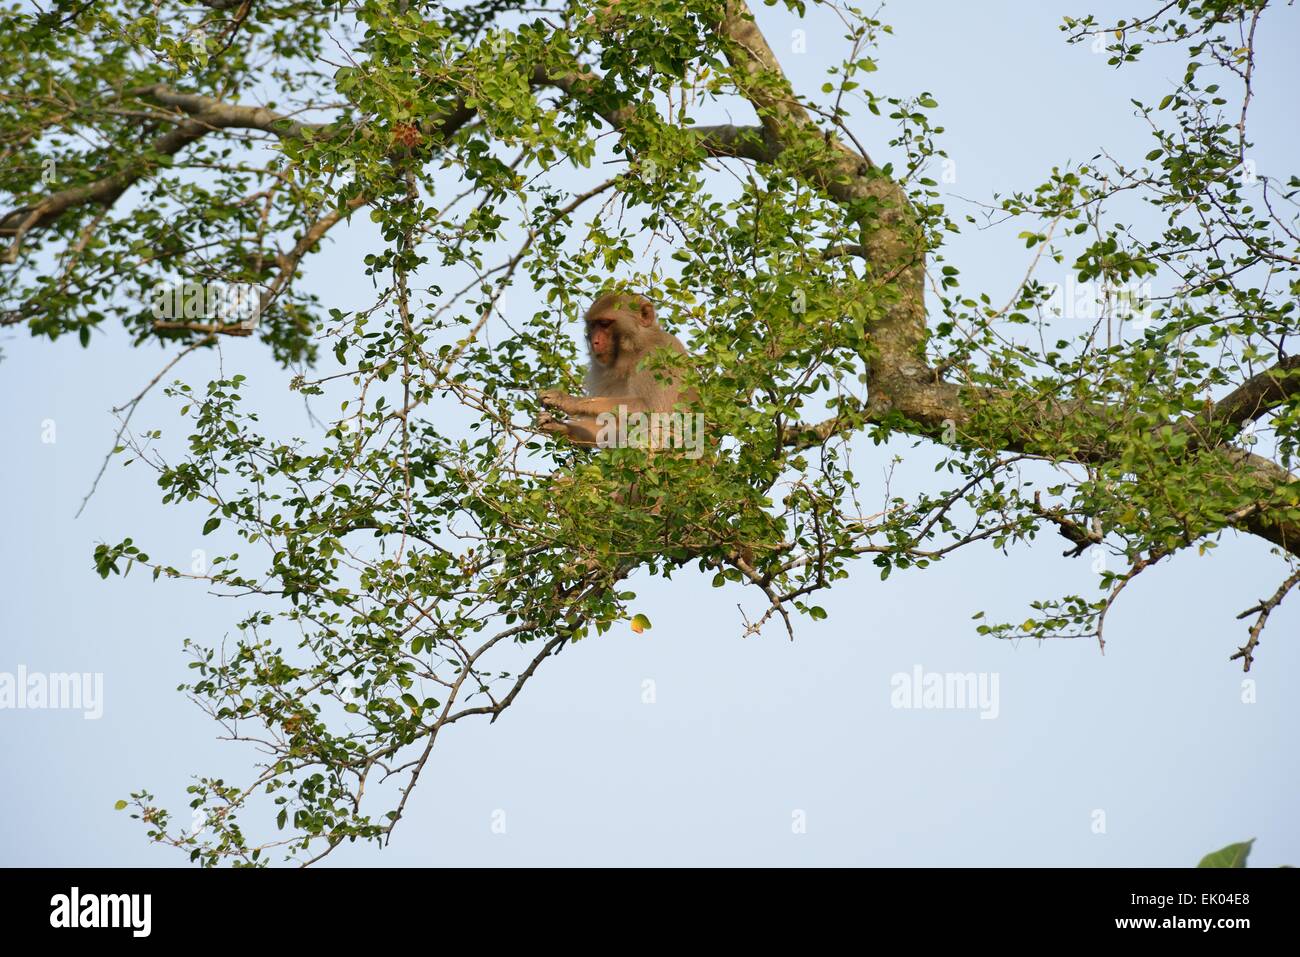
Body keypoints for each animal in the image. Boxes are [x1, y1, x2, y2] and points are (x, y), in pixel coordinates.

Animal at [537, 291, 692, 448]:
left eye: (605, 323)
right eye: (593, 325)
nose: (595, 342)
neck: (634, 351)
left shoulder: (661, 353)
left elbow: (654, 409)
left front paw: (568, 400)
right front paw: (558, 426)